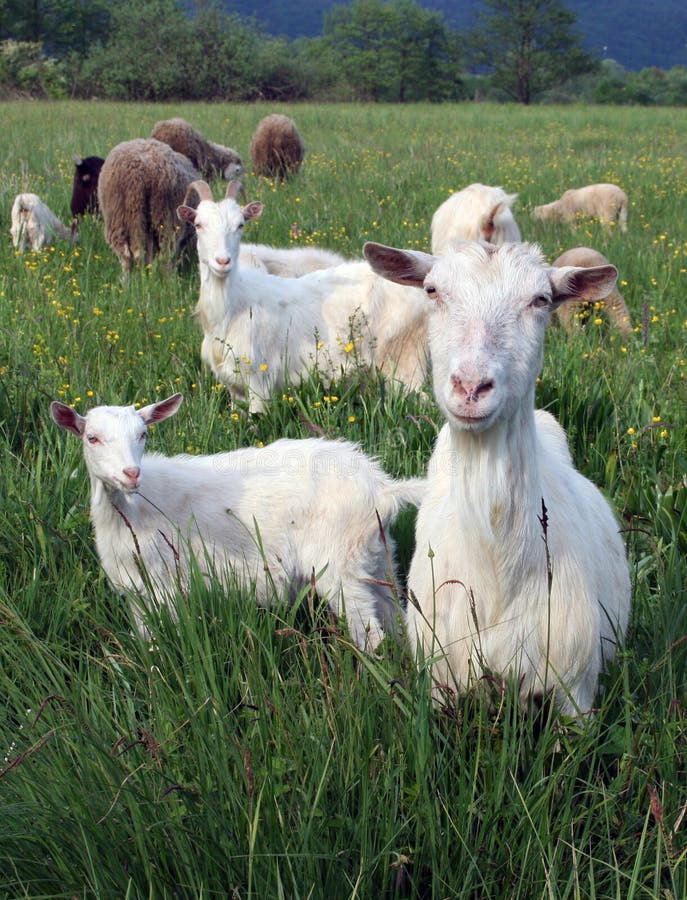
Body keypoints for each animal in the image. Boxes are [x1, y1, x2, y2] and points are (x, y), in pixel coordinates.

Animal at [49, 392, 424, 651]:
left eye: (143, 434)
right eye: (92, 438)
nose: (131, 474)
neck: (134, 510)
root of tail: (382, 487)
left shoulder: (165, 585)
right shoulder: (137, 593)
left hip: (338, 566)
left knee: (371, 635)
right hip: (376, 557)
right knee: (397, 617)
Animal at [97, 138, 201, 277]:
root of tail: (136, 176)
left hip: (118, 217)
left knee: (128, 255)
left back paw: (129, 280)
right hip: (166, 218)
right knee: (164, 254)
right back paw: (166, 279)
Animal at [177, 180, 430, 413]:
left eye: (240, 225)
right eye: (198, 225)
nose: (223, 261)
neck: (233, 306)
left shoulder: (259, 380)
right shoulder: (234, 387)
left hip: (403, 360)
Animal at [364, 239, 631, 715]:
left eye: (540, 299)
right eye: (432, 290)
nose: (471, 387)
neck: (496, 570)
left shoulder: (576, 691)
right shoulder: (440, 681)